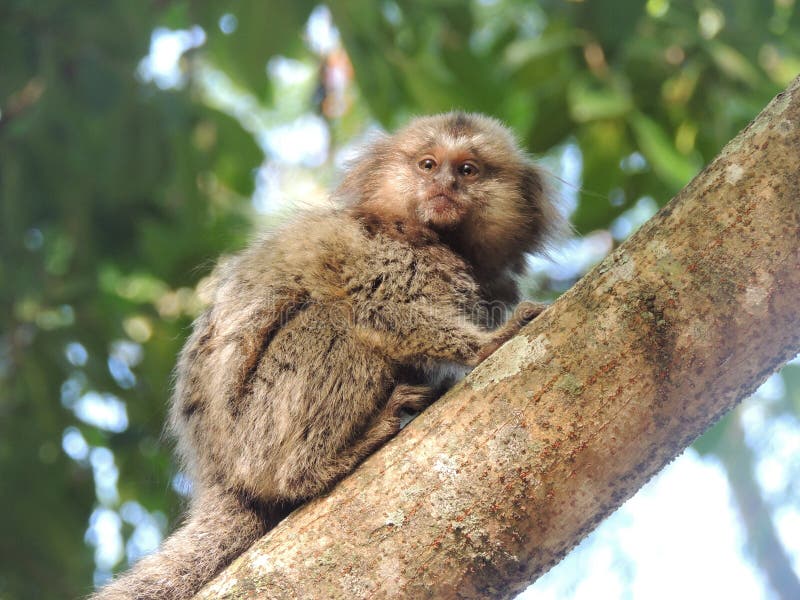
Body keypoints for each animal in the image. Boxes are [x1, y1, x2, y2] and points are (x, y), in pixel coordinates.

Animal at [92, 111, 561, 599]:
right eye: (428, 165)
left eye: (468, 170)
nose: (445, 185)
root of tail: (218, 470)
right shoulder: (388, 256)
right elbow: (383, 311)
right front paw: (488, 343)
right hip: (254, 432)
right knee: (335, 323)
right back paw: (318, 465)